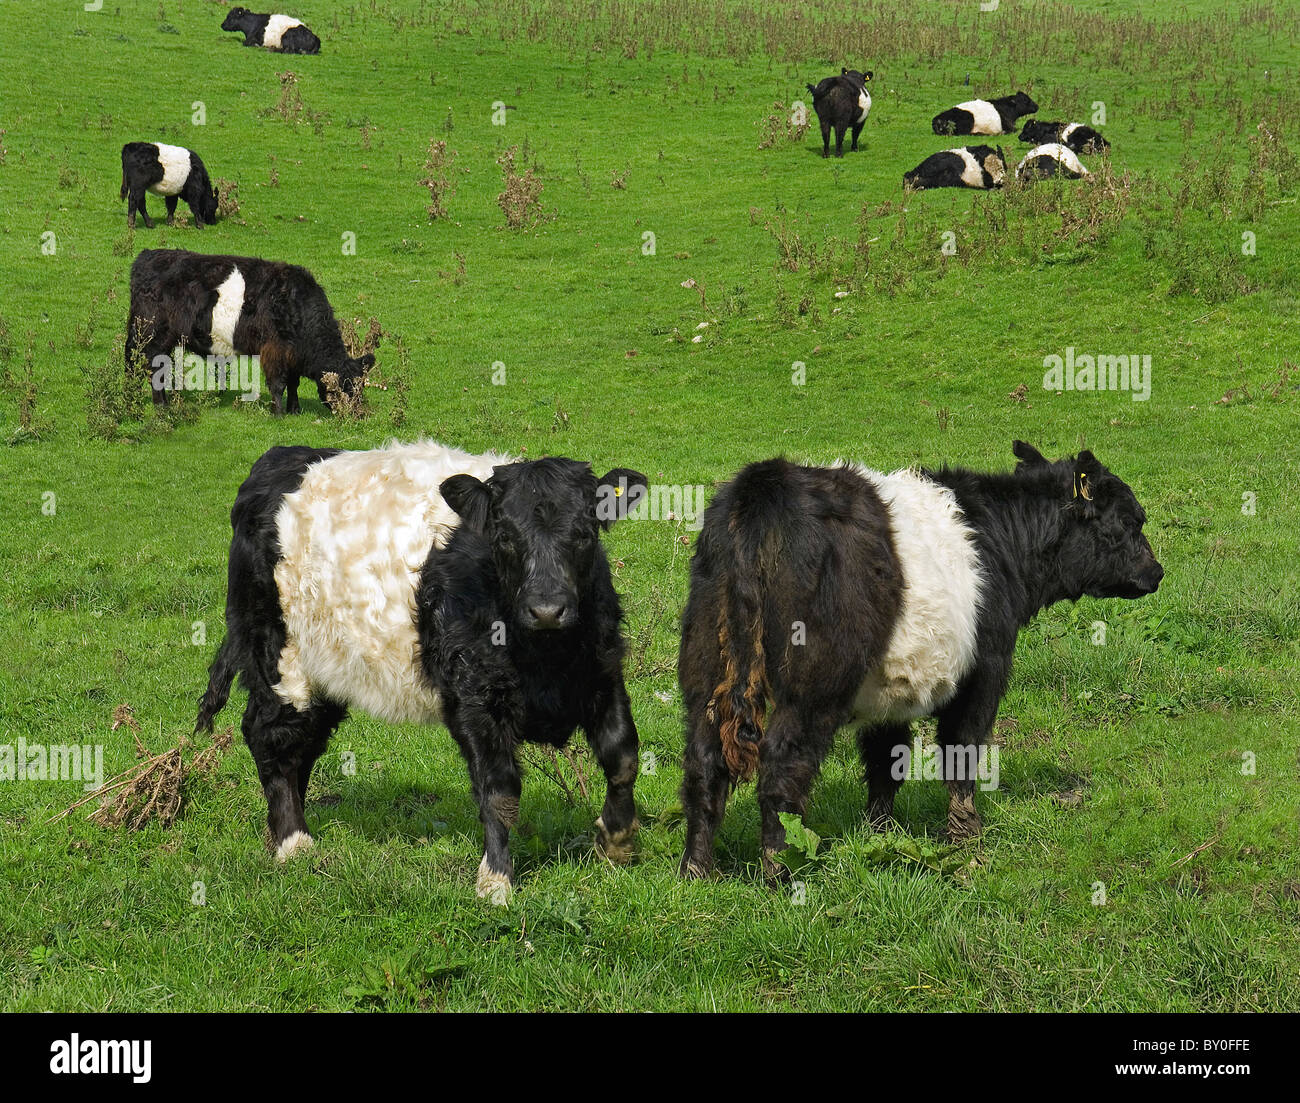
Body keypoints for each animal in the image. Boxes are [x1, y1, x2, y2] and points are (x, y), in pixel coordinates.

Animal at [125, 249, 373, 414]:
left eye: (360, 387)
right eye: (345, 388)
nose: (357, 414)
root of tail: (148, 255)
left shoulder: (292, 355)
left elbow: (293, 383)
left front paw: (295, 409)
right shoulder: (274, 349)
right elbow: (278, 384)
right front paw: (278, 413)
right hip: (151, 335)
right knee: (148, 366)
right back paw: (157, 405)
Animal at [194, 440, 648, 903]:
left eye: (585, 535)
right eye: (505, 538)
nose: (547, 610)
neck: (547, 658)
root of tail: (280, 457)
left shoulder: (603, 673)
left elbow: (623, 757)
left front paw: (616, 841)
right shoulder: (475, 696)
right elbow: (499, 790)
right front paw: (496, 880)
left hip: (330, 670)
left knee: (302, 741)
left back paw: (287, 832)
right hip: (278, 657)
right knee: (270, 735)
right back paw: (293, 842)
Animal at [677, 442, 1163, 882]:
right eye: (1131, 521)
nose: (1157, 573)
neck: (1007, 541)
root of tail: (762, 486)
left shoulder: (888, 693)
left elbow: (886, 763)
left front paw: (880, 835)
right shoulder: (985, 670)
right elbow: (961, 753)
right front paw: (967, 840)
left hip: (705, 668)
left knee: (704, 762)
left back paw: (696, 871)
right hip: (811, 686)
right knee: (780, 766)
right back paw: (779, 873)